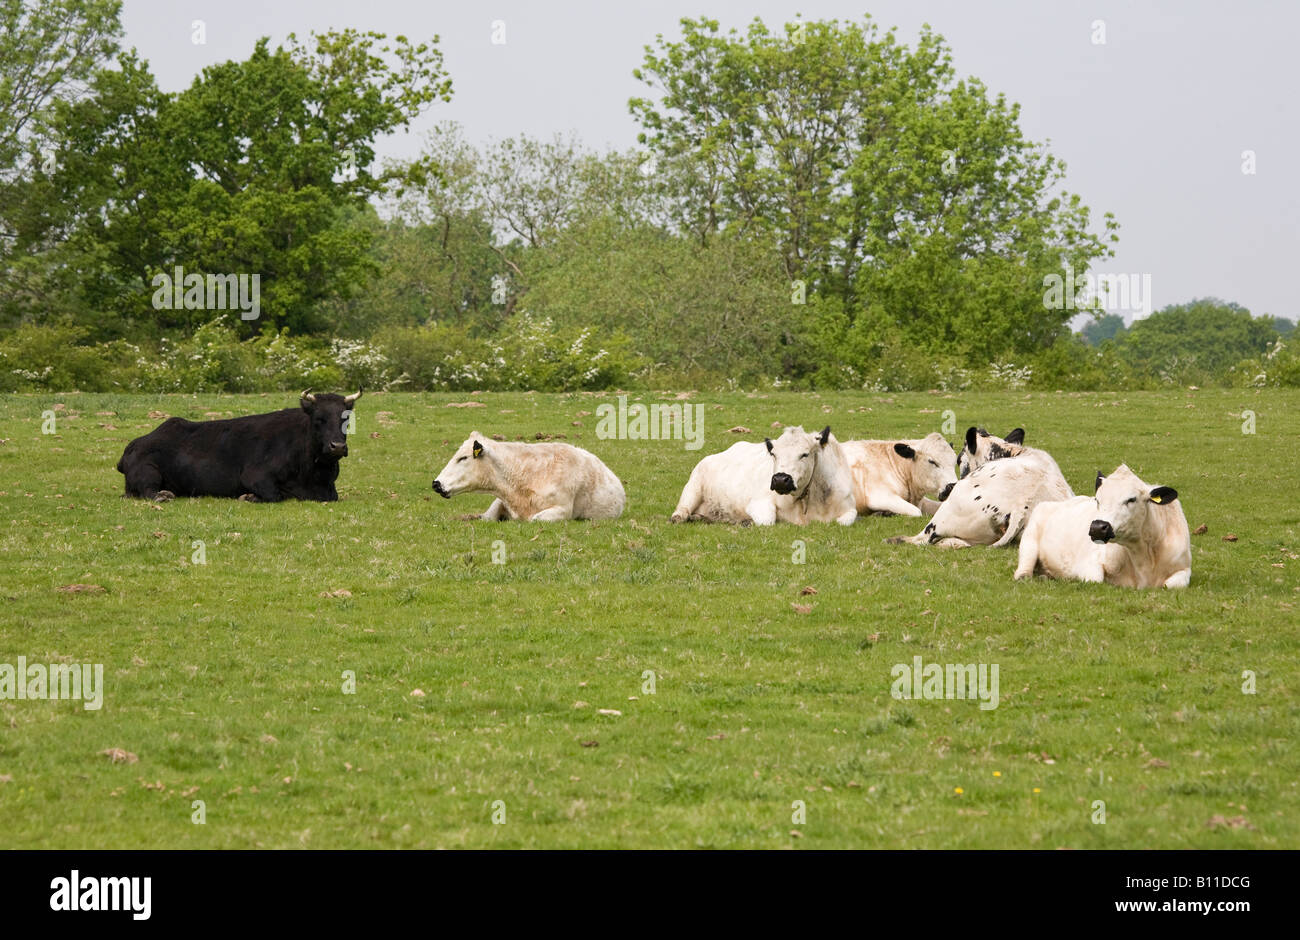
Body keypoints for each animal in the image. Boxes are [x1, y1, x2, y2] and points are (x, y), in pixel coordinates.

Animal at [116, 389, 361, 502]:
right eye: (319, 418)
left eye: (346, 419)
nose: (337, 446)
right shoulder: (255, 475)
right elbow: (275, 495)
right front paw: (249, 497)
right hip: (148, 471)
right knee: (148, 491)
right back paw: (163, 495)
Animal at [670, 425, 857, 526]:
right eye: (773, 454)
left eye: (805, 454)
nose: (780, 480)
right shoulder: (758, 503)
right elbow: (768, 520)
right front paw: (746, 522)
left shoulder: (850, 509)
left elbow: (843, 521)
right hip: (693, 487)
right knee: (682, 510)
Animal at [1014, 464, 1191, 588]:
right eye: (1097, 499)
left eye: (1131, 499)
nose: (1098, 527)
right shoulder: (1089, 563)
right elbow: (1096, 579)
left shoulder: (1184, 569)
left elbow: (1169, 585)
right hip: (1029, 541)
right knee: (1023, 571)